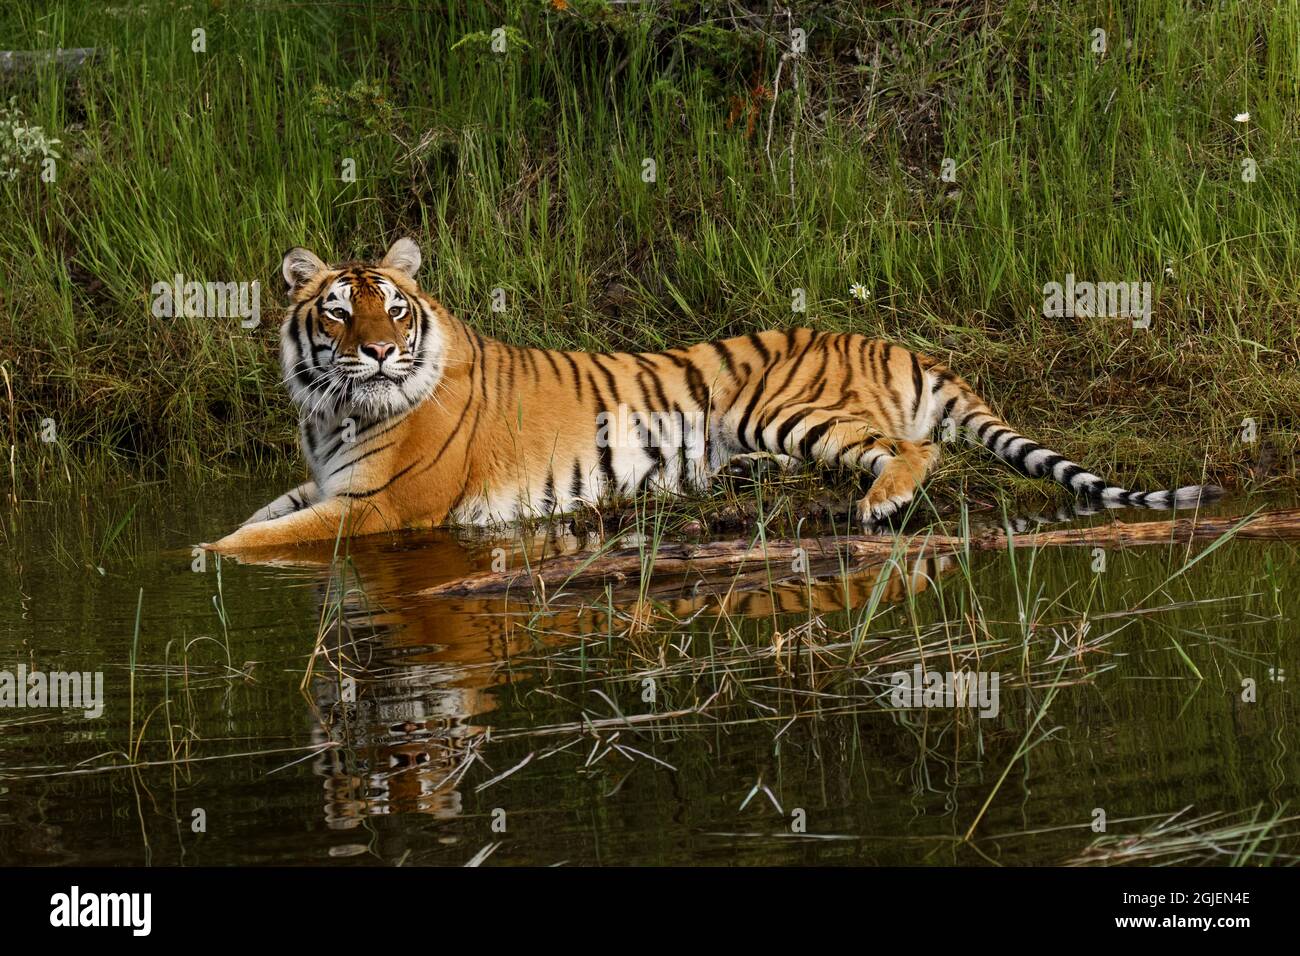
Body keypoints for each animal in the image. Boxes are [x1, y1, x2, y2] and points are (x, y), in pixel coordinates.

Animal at [206, 237, 1221, 552]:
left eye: (392, 308)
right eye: (337, 313)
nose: (378, 352)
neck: (332, 410)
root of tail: (881, 338)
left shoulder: (380, 507)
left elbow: (259, 542)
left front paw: (203, 556)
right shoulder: (329, 484)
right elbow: (265, 513)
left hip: (783, 405)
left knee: (914, 450)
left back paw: (881, 506)